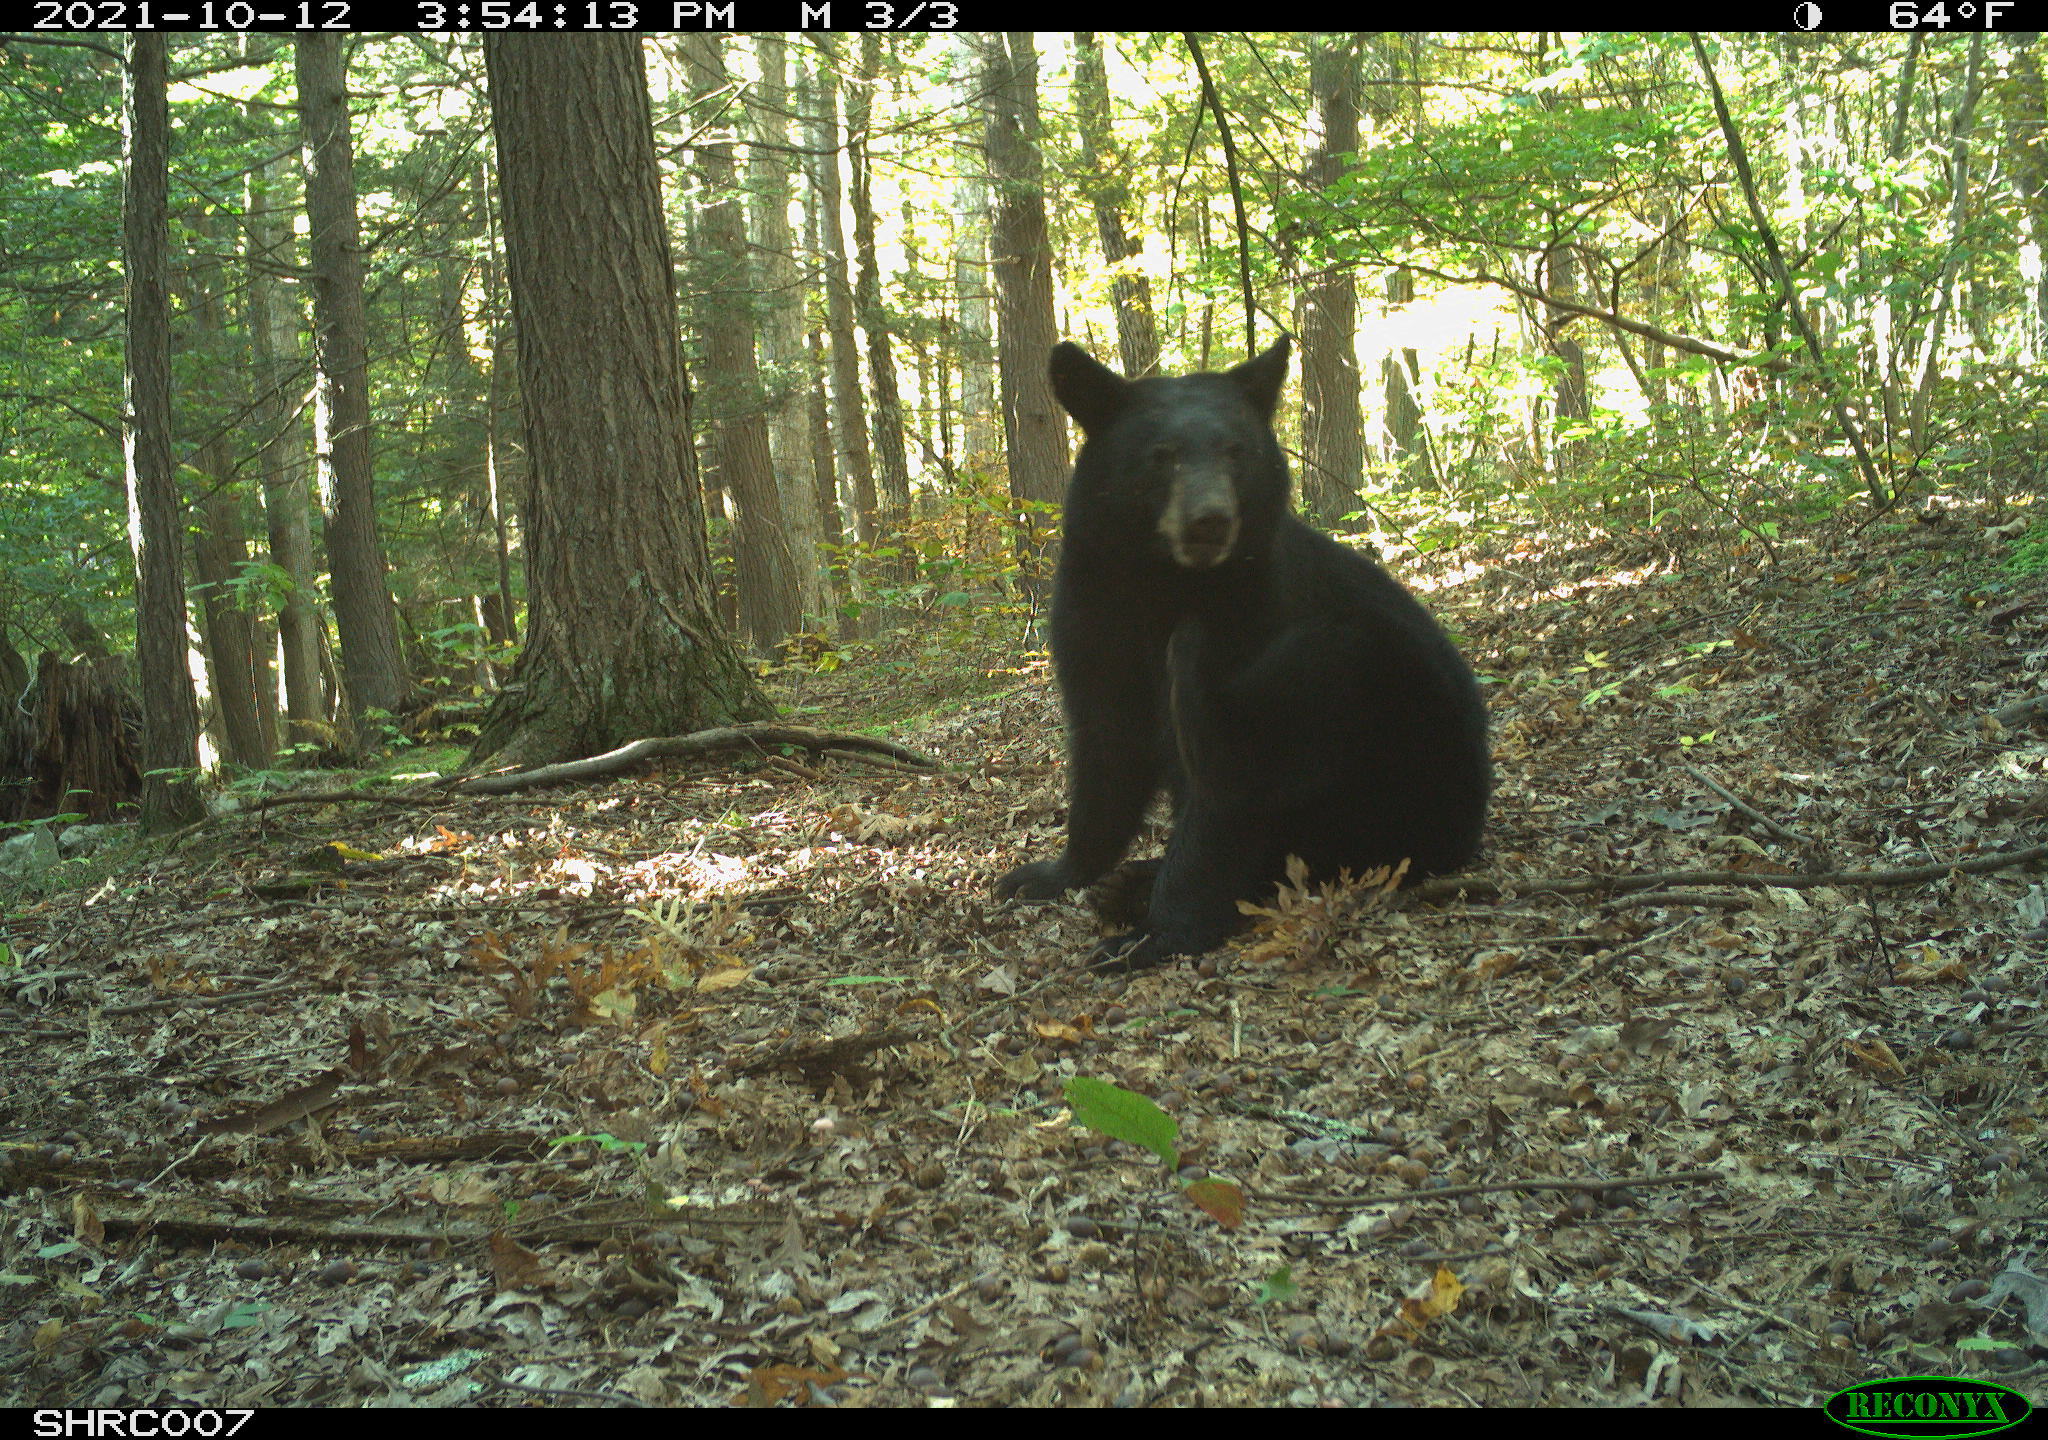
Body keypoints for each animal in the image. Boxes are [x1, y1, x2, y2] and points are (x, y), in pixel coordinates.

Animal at [996, 337, 1491, 971]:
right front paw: (1048, 874)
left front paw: (1153, 935)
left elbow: (1230, 782)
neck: (1164, 585)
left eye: (1236, 451)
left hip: (1385, 720)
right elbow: (1105, 752)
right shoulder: (1095, 620)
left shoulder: (1253, 630)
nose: (1210, 519)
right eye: (1162, 455)